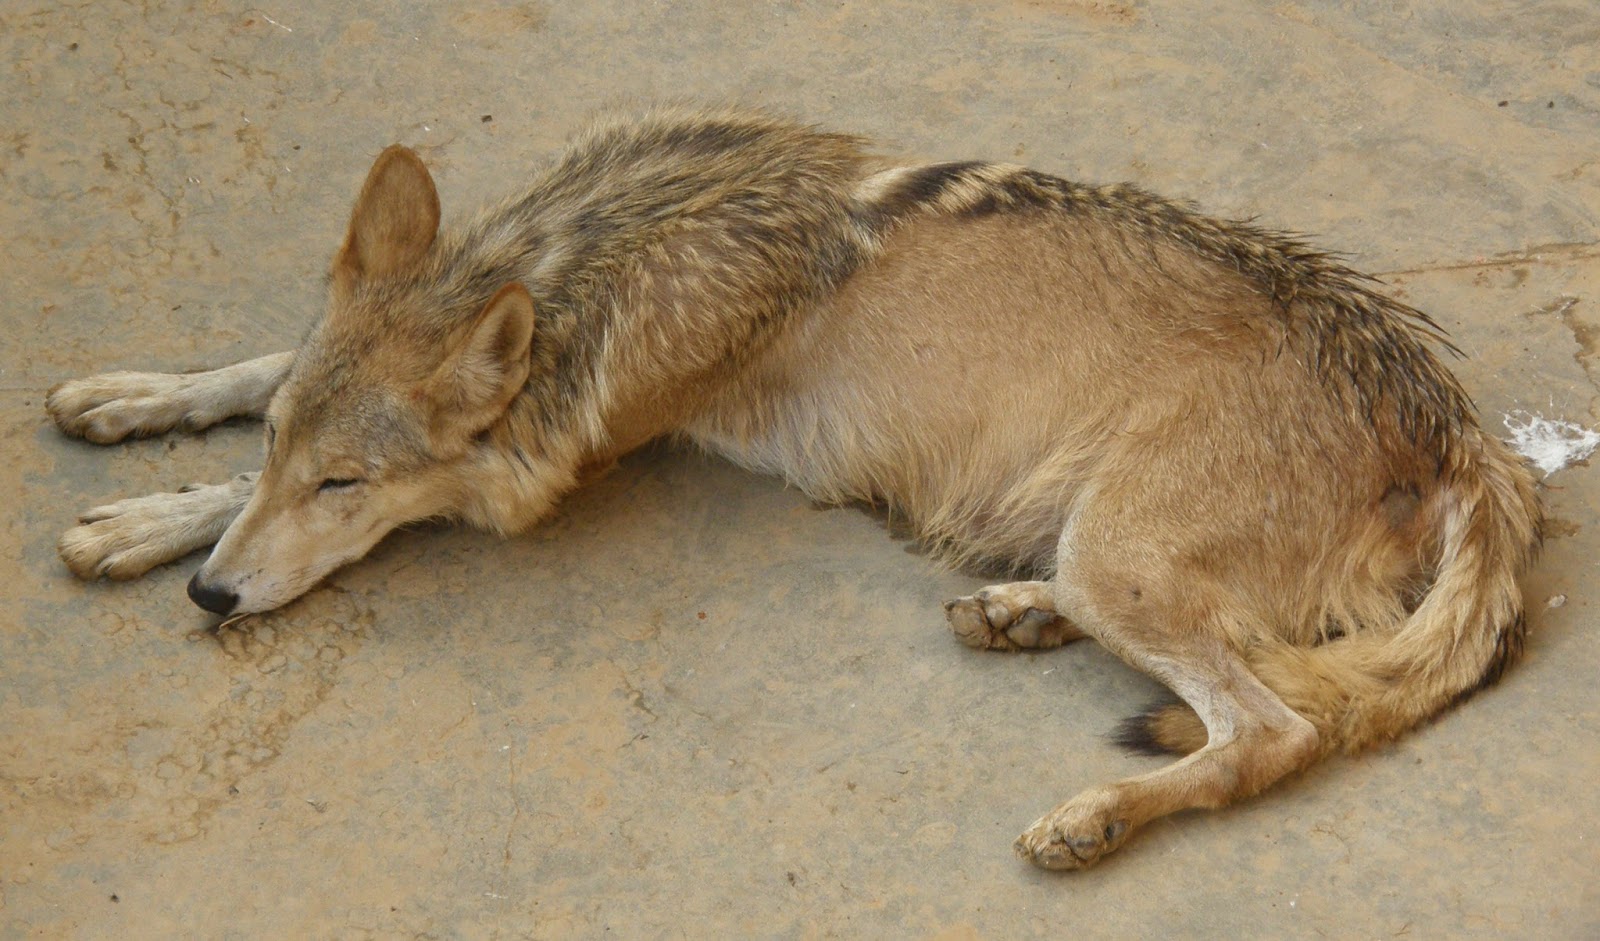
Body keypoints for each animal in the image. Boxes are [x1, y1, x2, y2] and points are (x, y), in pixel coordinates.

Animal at [47, 105, 1542, 870]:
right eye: (299, 453)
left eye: (346, 482)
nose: (212, 598)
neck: (605, 250)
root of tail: (1462, 426)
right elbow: (247, 373)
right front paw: (134, 410)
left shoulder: (577, 452)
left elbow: (259, 488)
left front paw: (154, 525)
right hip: (1106, 554)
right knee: (1254, 671)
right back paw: (1012, 614)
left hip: (1122, 555)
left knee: (1276, 727)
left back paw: (1092, 815)